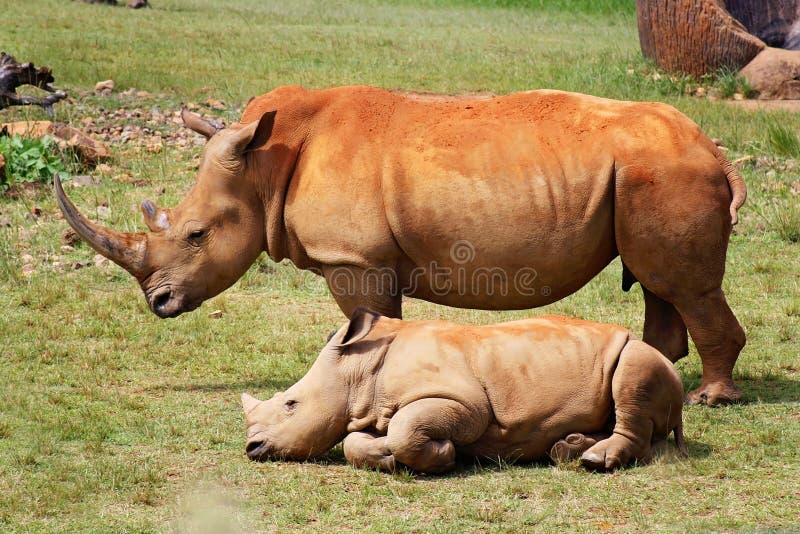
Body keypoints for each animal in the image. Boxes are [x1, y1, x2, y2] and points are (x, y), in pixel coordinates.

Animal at [55, 85, 747, 405]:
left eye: (197, 235)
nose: (159, 304)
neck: (263, 168)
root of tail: (715, 149)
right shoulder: (364, 259)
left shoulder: (354, 259)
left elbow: (370, 327)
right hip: (647, 173)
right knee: (659, 283)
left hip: (664, 173)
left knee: (684, 285)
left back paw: (710, 400)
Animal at [242, 309, 686, 473]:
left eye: (291, 404)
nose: (251, 448)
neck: (359, 372)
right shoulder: (370, 408)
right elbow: (355, 441)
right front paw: (385, 455)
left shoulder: (464, 404)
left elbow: (408, 428)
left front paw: (443, 456)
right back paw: (568, 450)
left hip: (635, 352)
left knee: (632, 374)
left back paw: (595, 461)